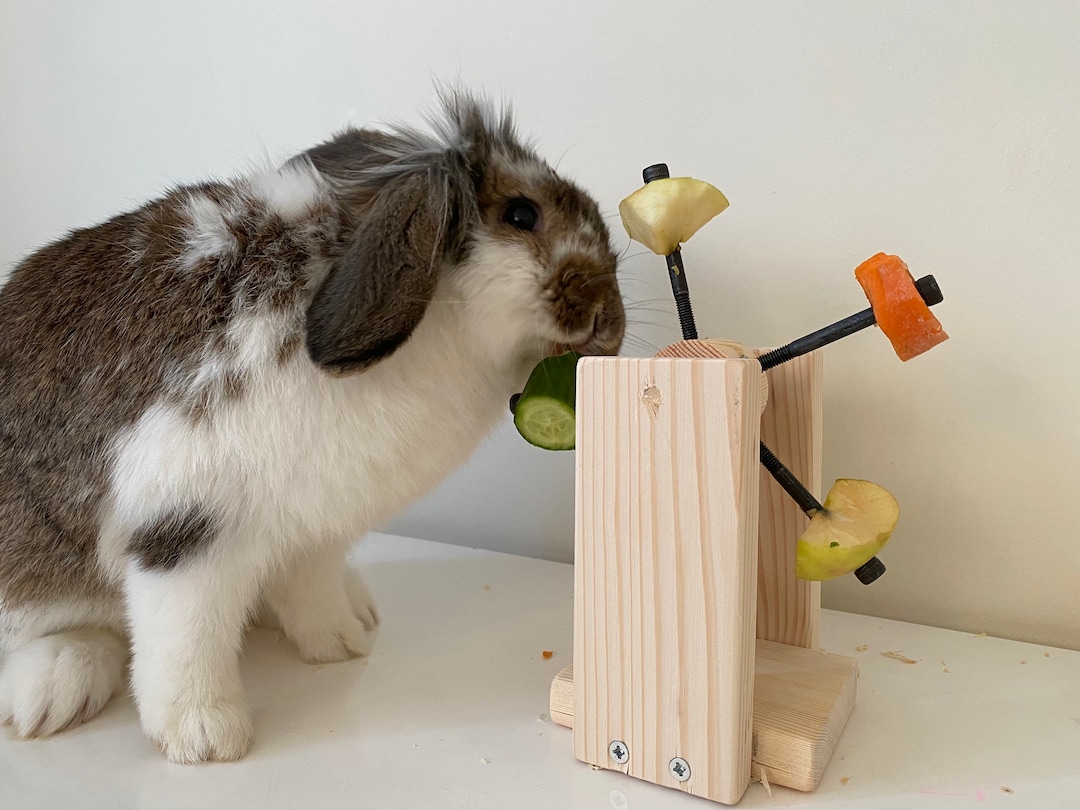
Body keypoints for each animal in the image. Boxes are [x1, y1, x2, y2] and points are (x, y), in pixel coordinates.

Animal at [0, 90, 625, 763]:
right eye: (521, 214)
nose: (611, 320)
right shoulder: (184, 531)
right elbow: (186, 640)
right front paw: (205, 738)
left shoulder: (316, 525)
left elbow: (312, 592)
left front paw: (342, 644)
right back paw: (58, 682)